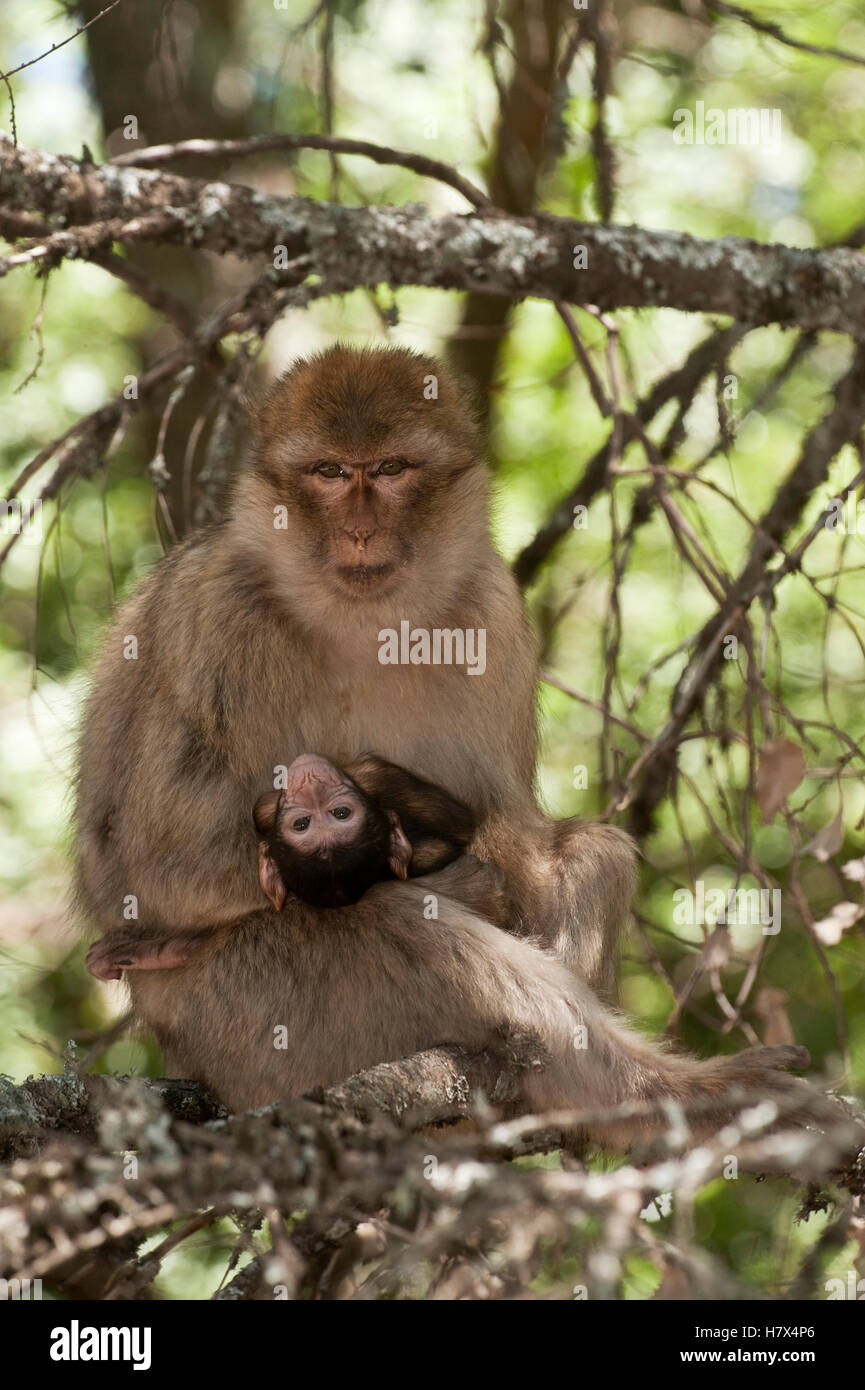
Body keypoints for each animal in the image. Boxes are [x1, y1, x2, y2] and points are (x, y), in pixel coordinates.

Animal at [74, 344, 812, 1142]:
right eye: (329, 472)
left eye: (391, 469)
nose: (360, 531)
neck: (360, 620)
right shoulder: (214, 618)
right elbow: (156, 868)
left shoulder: (490, 608)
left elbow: (514, 827)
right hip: (255, 1029)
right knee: (399, 926)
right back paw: (664, 1092)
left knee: (594, 853)